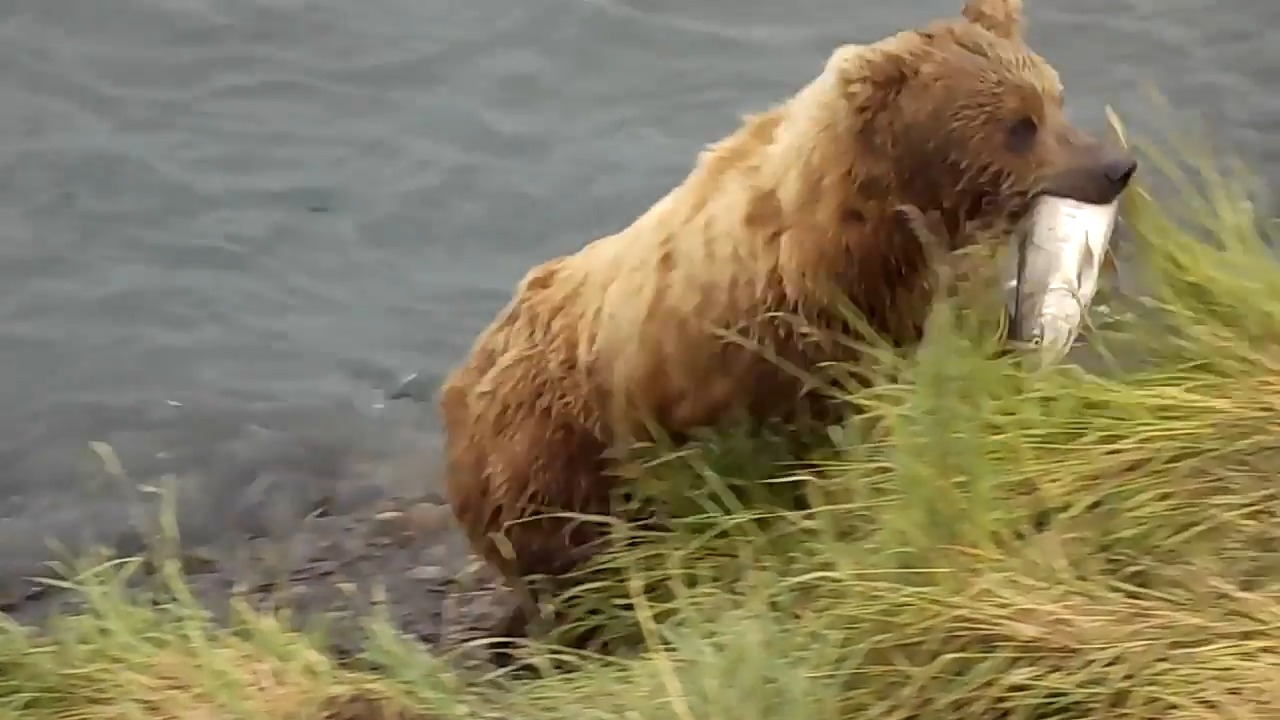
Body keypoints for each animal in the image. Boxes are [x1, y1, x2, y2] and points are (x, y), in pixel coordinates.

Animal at [438, 0, 1136, 637]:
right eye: (1019, 124)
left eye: (1055, 98)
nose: (1115, 167)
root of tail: (461, 382)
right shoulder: (780, 340)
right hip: (553, 459)